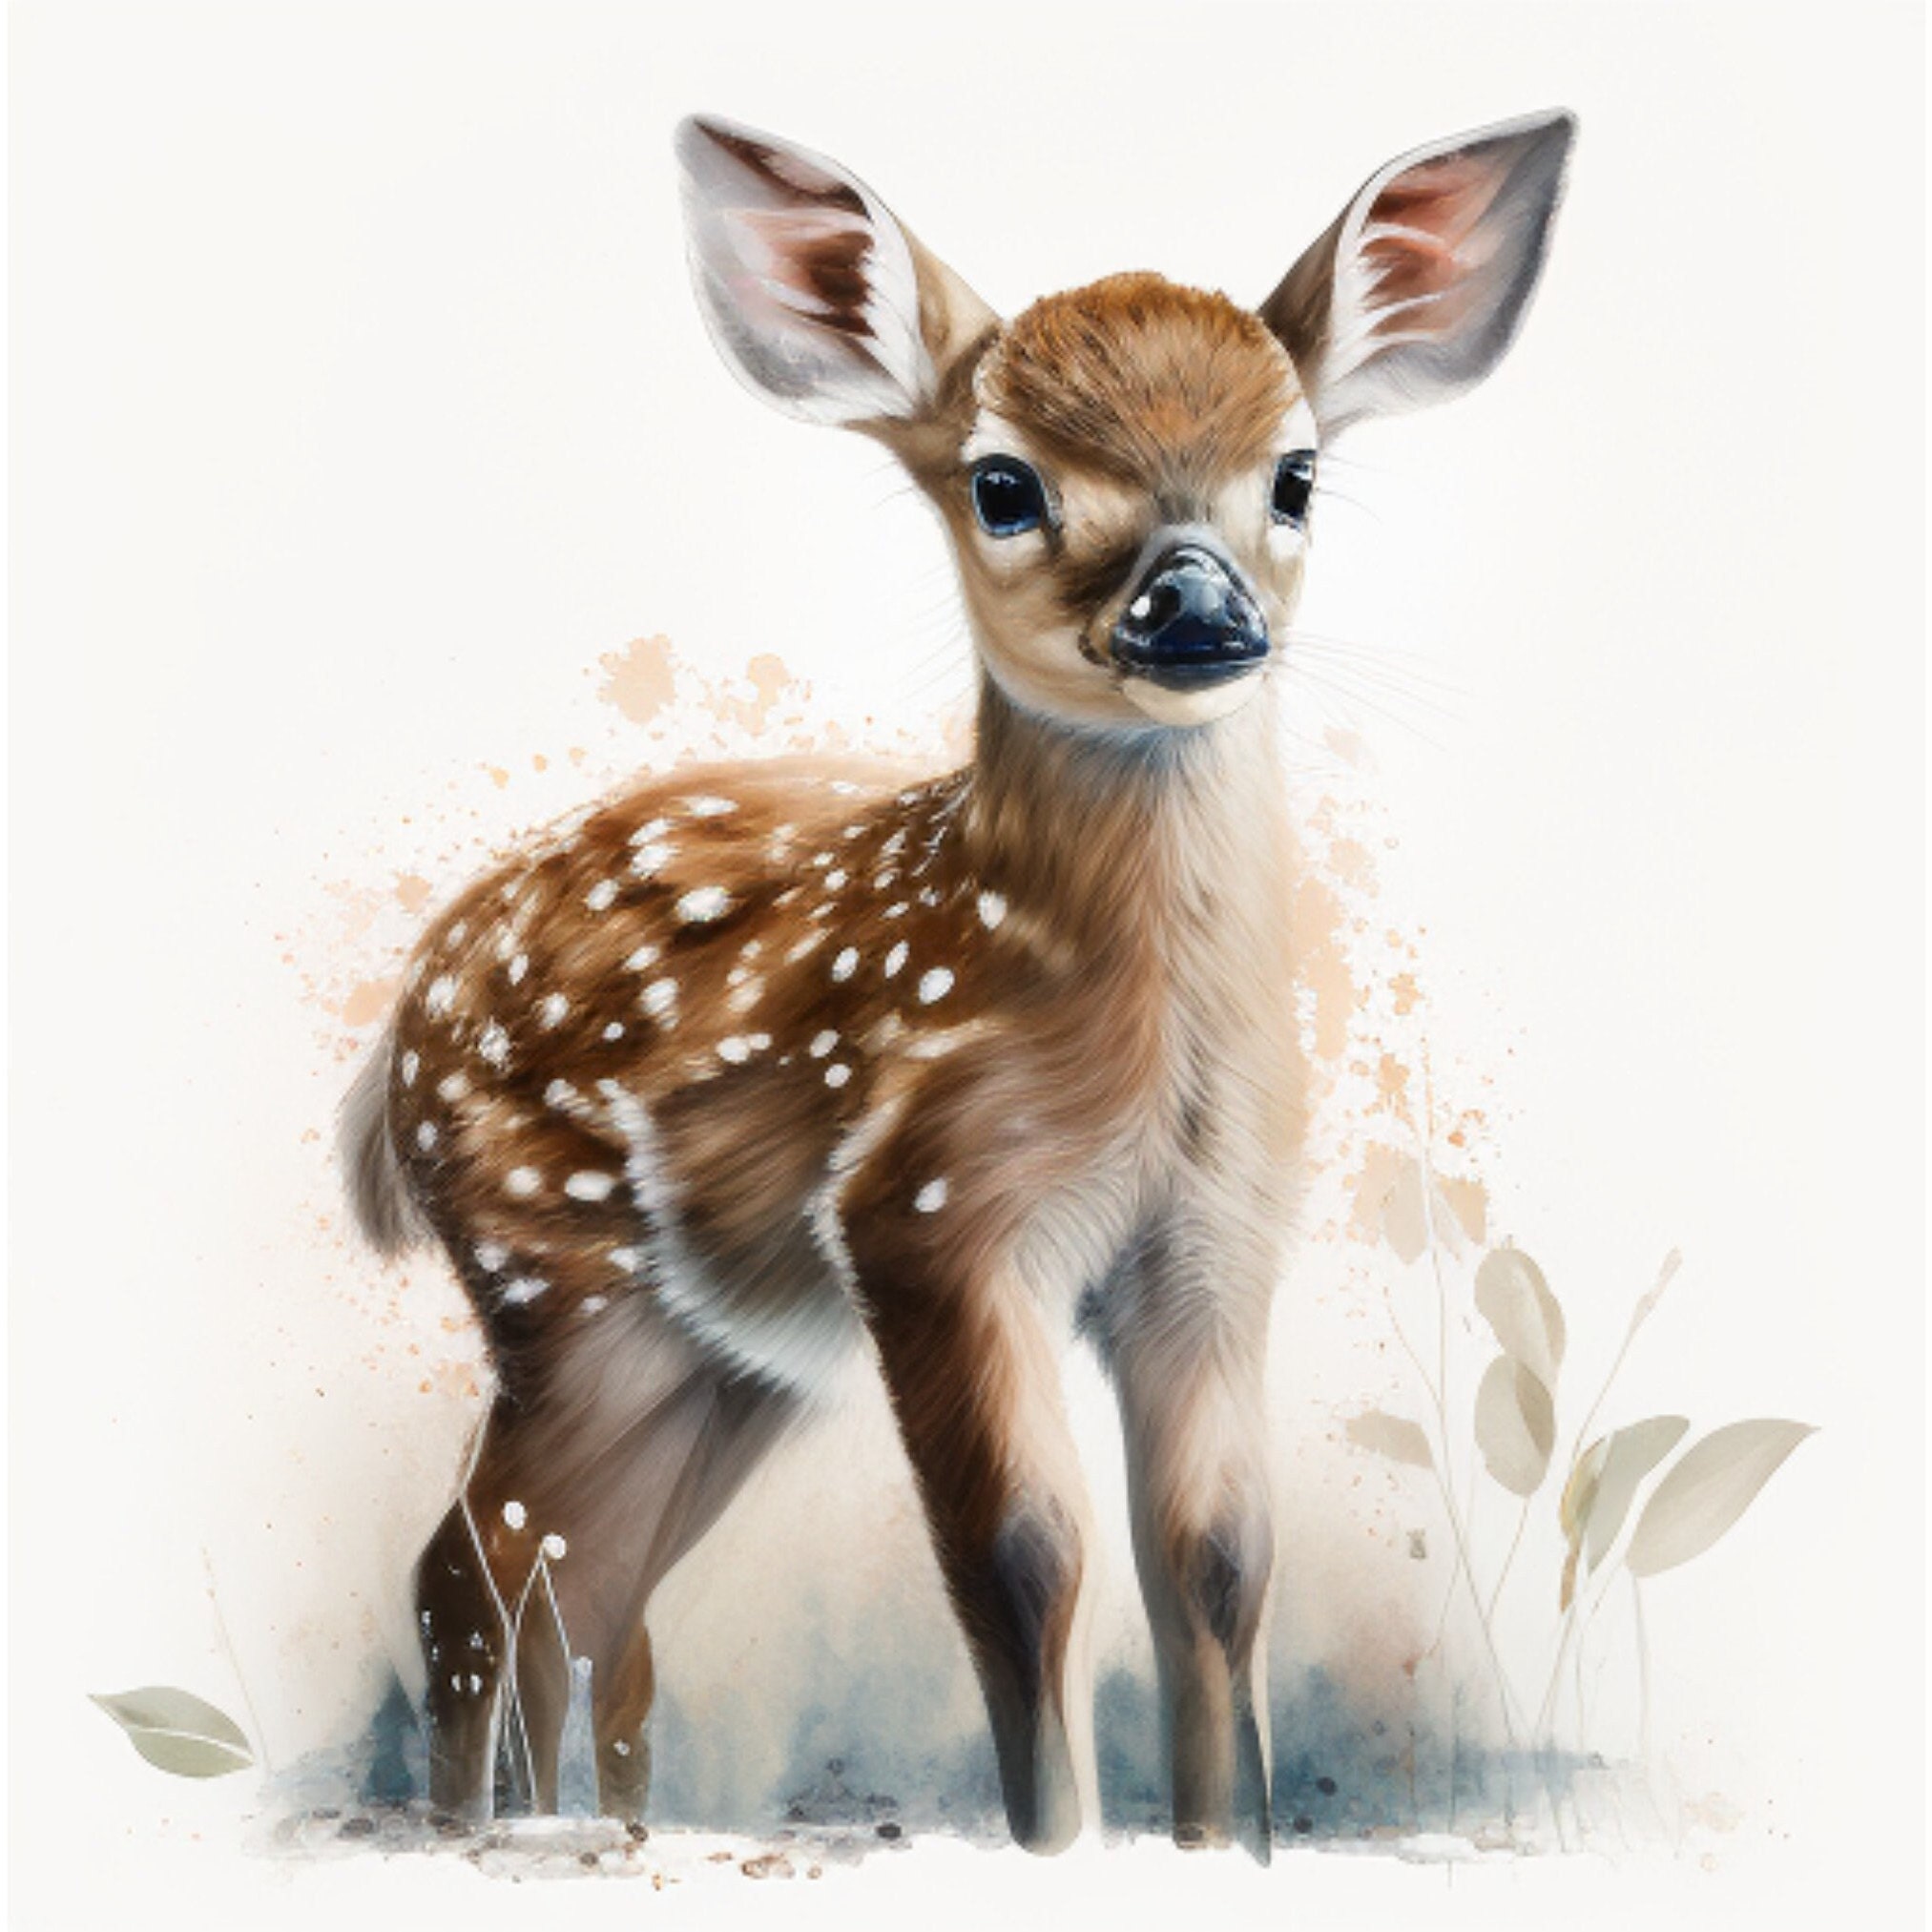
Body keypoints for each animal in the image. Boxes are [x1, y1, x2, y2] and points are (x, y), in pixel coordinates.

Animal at [341, 106, 1575, 1859]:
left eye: (1295, 474)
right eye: (1004, 483)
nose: (1195, 601)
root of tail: (387, 1065)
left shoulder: (1216, 1242)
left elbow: (1216, 1564)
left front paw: (1226, 1847)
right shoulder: (928, 1214)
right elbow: (1028, 1558)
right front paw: (1056, 1846)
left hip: (720, 1358)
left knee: (590, 1597)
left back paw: (585, 1836)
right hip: (552, 1274)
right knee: (472, 1568)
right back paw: (478, 1841)